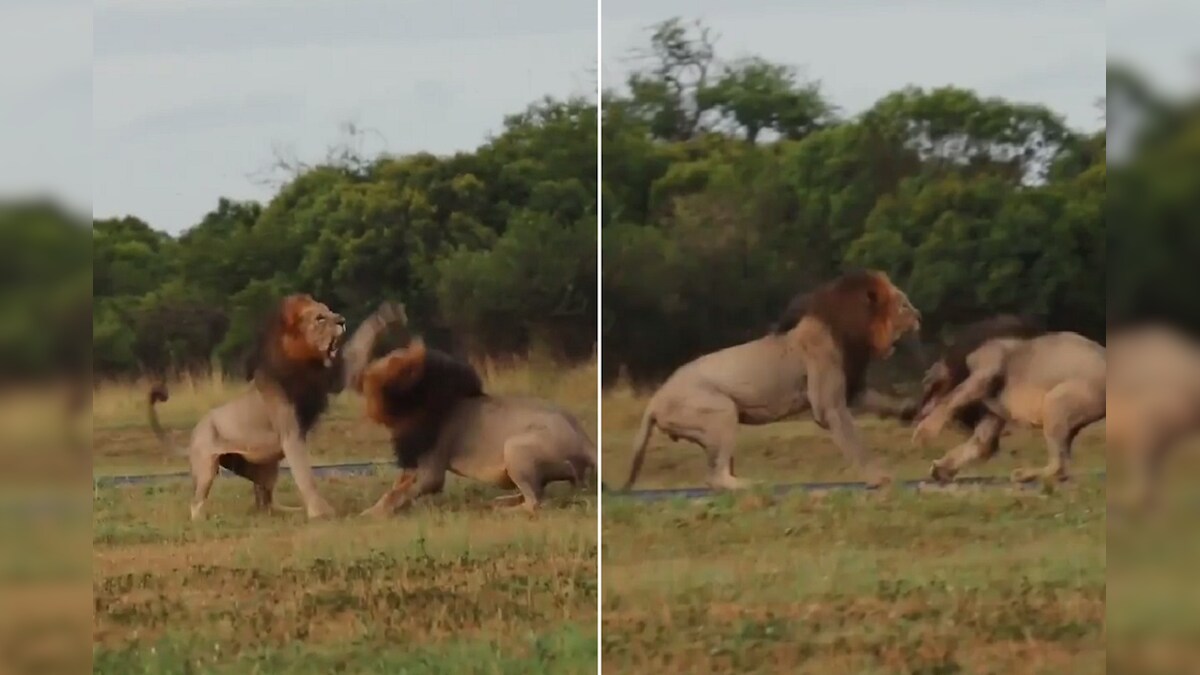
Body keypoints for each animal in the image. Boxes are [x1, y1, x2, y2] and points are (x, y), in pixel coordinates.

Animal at [147, 295, 406, 521]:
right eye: (320, 318)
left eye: (331, 311)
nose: (341, 320)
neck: (306, 360)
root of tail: (193, 434)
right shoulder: (291, 433)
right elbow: (305, 475)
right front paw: (321, 513)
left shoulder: (334, 378)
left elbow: (362, 339)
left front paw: (388, 313)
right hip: (206, 467)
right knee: (196, 501)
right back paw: (203, 520)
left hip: (265, 468)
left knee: (265, 502)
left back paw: (290, 511)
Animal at [345, 315, 597, 517]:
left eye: (389, 365)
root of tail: (585, 440)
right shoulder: (413, 459)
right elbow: (394, 489)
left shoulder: (431, 468)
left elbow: (400, 493)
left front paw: (372, 515)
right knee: (536, 492)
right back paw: (499, 501)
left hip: (516, 448)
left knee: (536, 502)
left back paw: (503, 510)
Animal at [620, 270, 922, 491]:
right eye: (903, 304)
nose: (919, 316)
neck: (853, 331)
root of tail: (655, 401)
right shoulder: (829, 405)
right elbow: (855, 442)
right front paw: (879, 477)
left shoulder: (852, 387)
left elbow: (883, 401)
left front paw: (911, 409)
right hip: (720, 411)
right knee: (715, 477)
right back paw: (753, 485)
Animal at [911, 316, 1105, 485]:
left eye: (927, 381)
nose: (925, 377)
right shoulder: (993, 411)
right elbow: (979, 444)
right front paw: (941, 469)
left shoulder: (986, 371)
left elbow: (950, 399)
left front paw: (923, 433)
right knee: (1062, 466)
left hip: (1056, 403)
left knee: (1059, 466)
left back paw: (1022, 475)